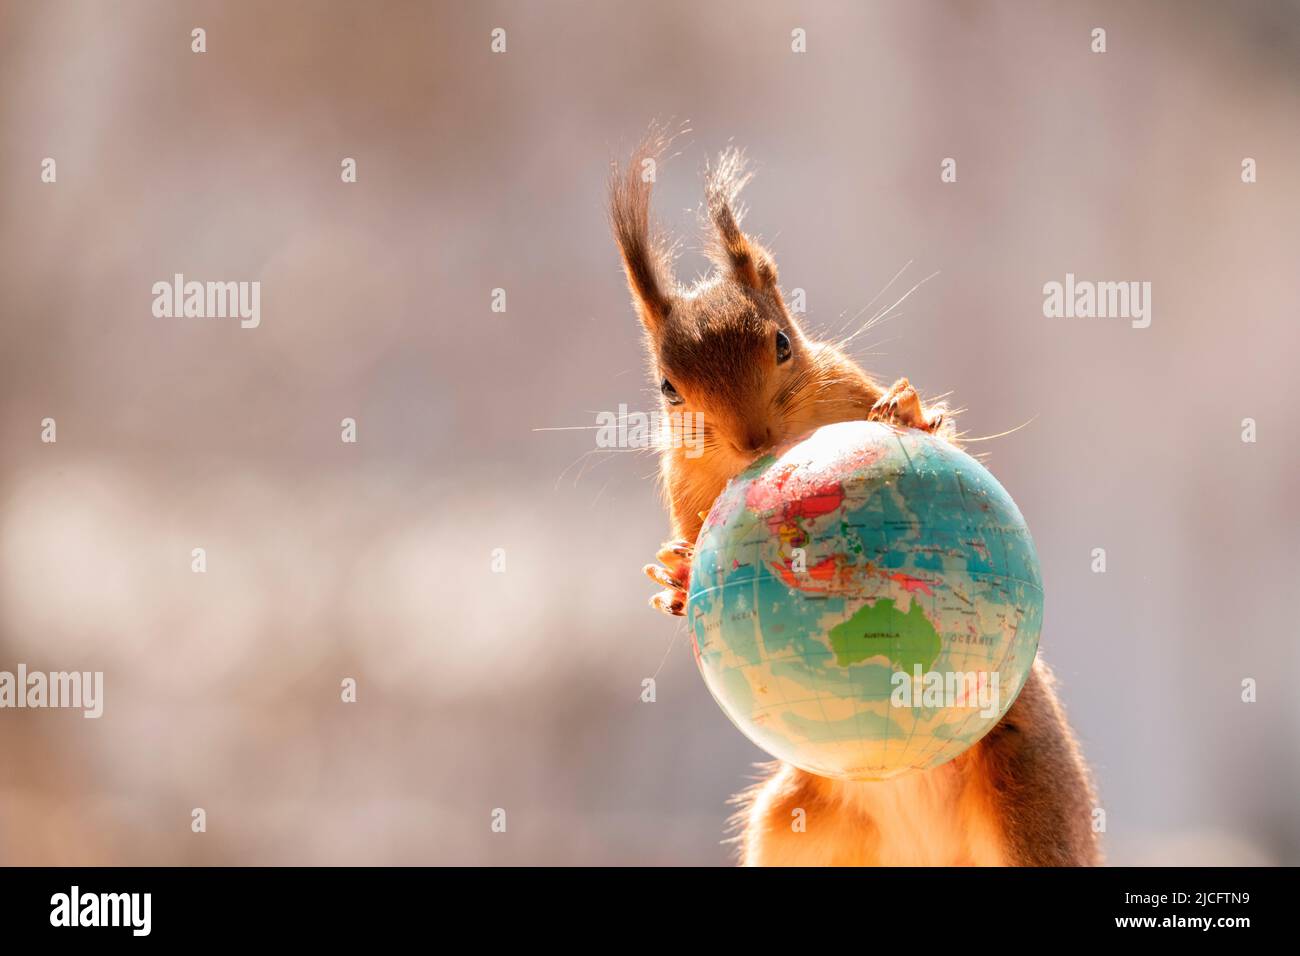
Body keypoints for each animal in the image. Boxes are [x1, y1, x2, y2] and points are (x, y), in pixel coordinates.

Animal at [608, 132, 1101, 866]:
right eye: (669, 389)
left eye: (782, 344)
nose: (754, 441)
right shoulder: (686, 487)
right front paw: (676, 574)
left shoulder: (847, 384)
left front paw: (909, 411)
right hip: (791, 826)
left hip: (1031, 800)